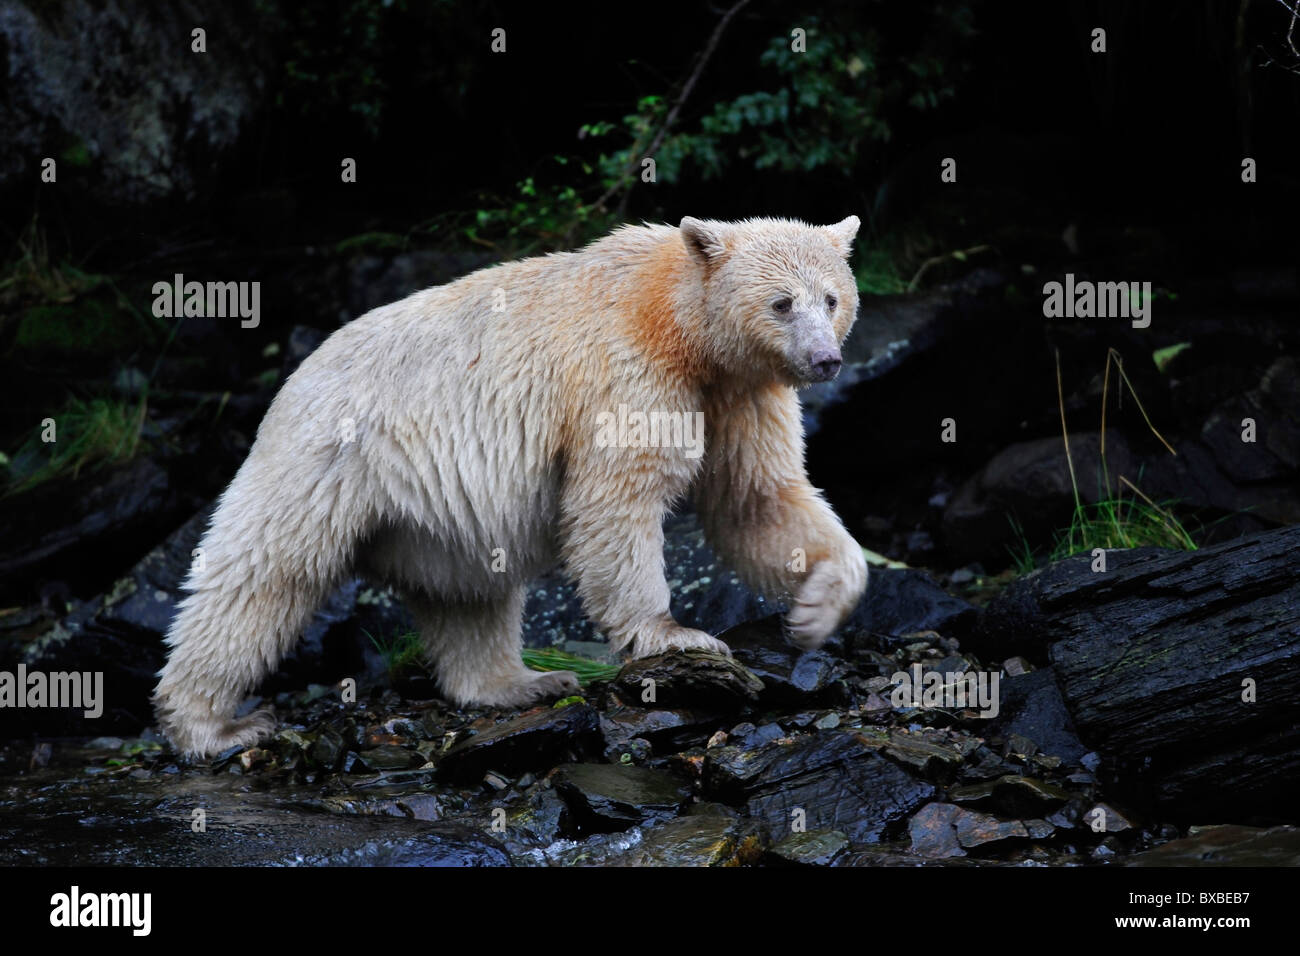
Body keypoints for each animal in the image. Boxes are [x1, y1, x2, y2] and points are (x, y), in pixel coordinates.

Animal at [153, 215, 869, 757]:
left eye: (831, 298)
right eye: (782, 302)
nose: (825, 359)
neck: (678, 319)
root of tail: (293, 379)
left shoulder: (741, 394)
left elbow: (757, 497)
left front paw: (817, 608)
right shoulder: (627, 373)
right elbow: (616, 501)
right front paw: (677, 637)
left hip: (437, 514)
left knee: (469, 591)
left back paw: (520, 682)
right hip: (328, 458)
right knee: (264, 575)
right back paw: (213, 725)